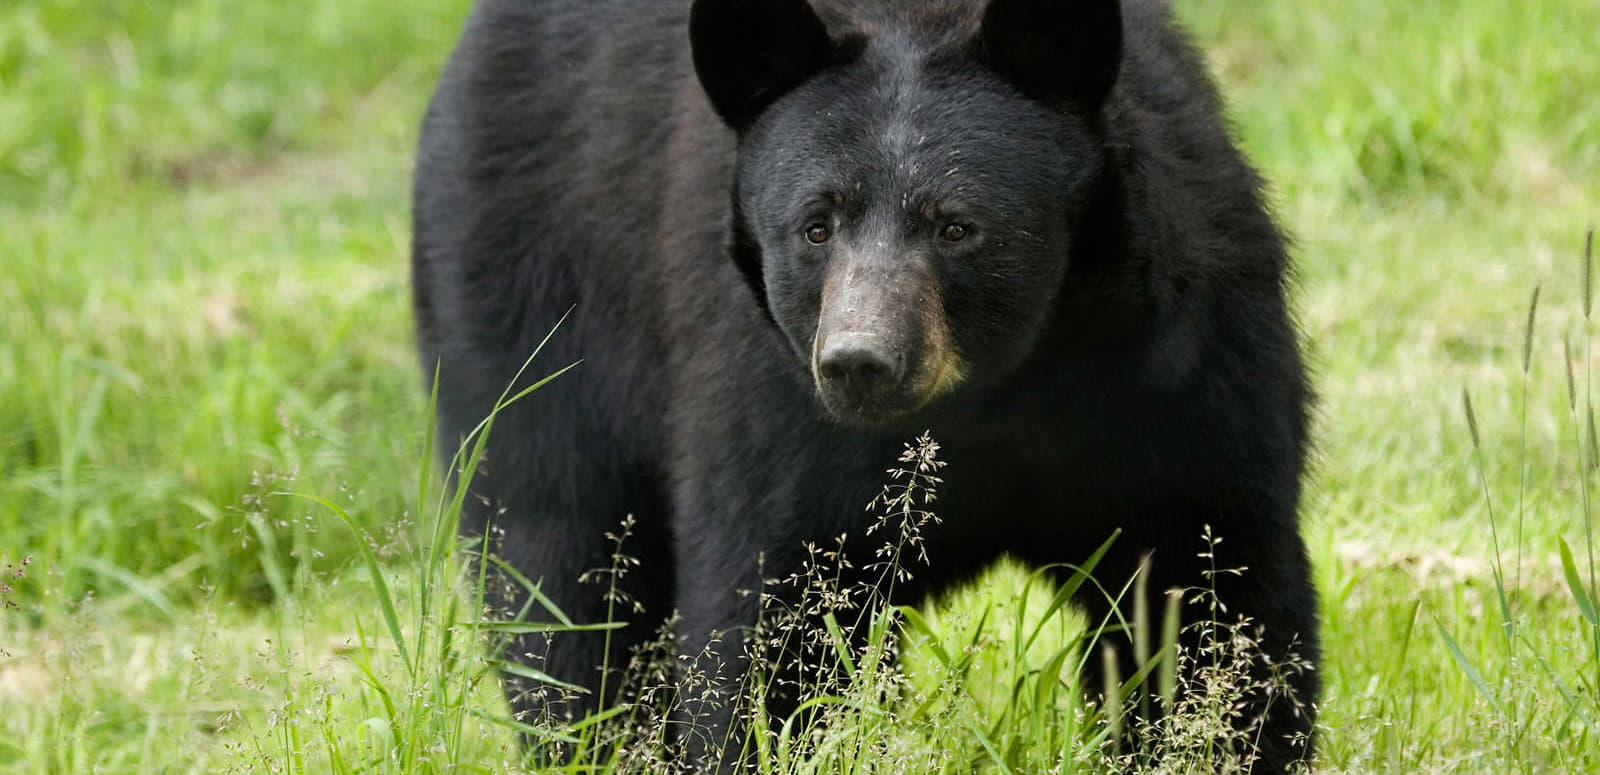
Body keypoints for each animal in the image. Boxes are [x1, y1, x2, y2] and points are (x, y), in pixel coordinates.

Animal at [411, 0, 1319, 771]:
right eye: (816, 225)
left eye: (957, 225)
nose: (859, 360)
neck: (997, 393)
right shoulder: (773, 407)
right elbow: (770, 627)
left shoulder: (1181, 373)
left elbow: (1213, 597)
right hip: (532, 308)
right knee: (562, 577)